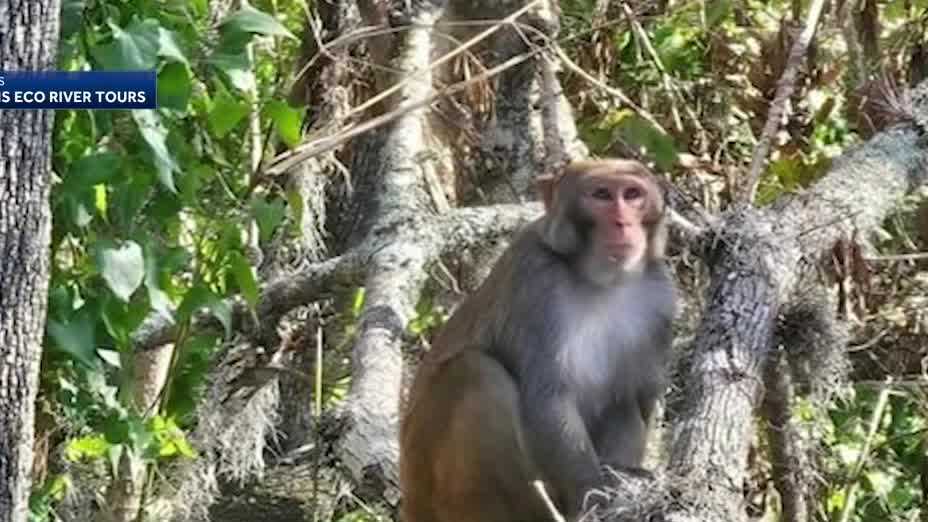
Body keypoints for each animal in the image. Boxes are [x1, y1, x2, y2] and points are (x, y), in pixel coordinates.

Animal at [399, 159, 677, 522]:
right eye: (601, 195)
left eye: (632, 195)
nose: (622, 222)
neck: (598, 281)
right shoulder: (535, 278)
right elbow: (547, 397)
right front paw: (592, 495)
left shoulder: (661, 296)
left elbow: (637, 399)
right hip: (436, 486)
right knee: (476, 372)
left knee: (622, 402)